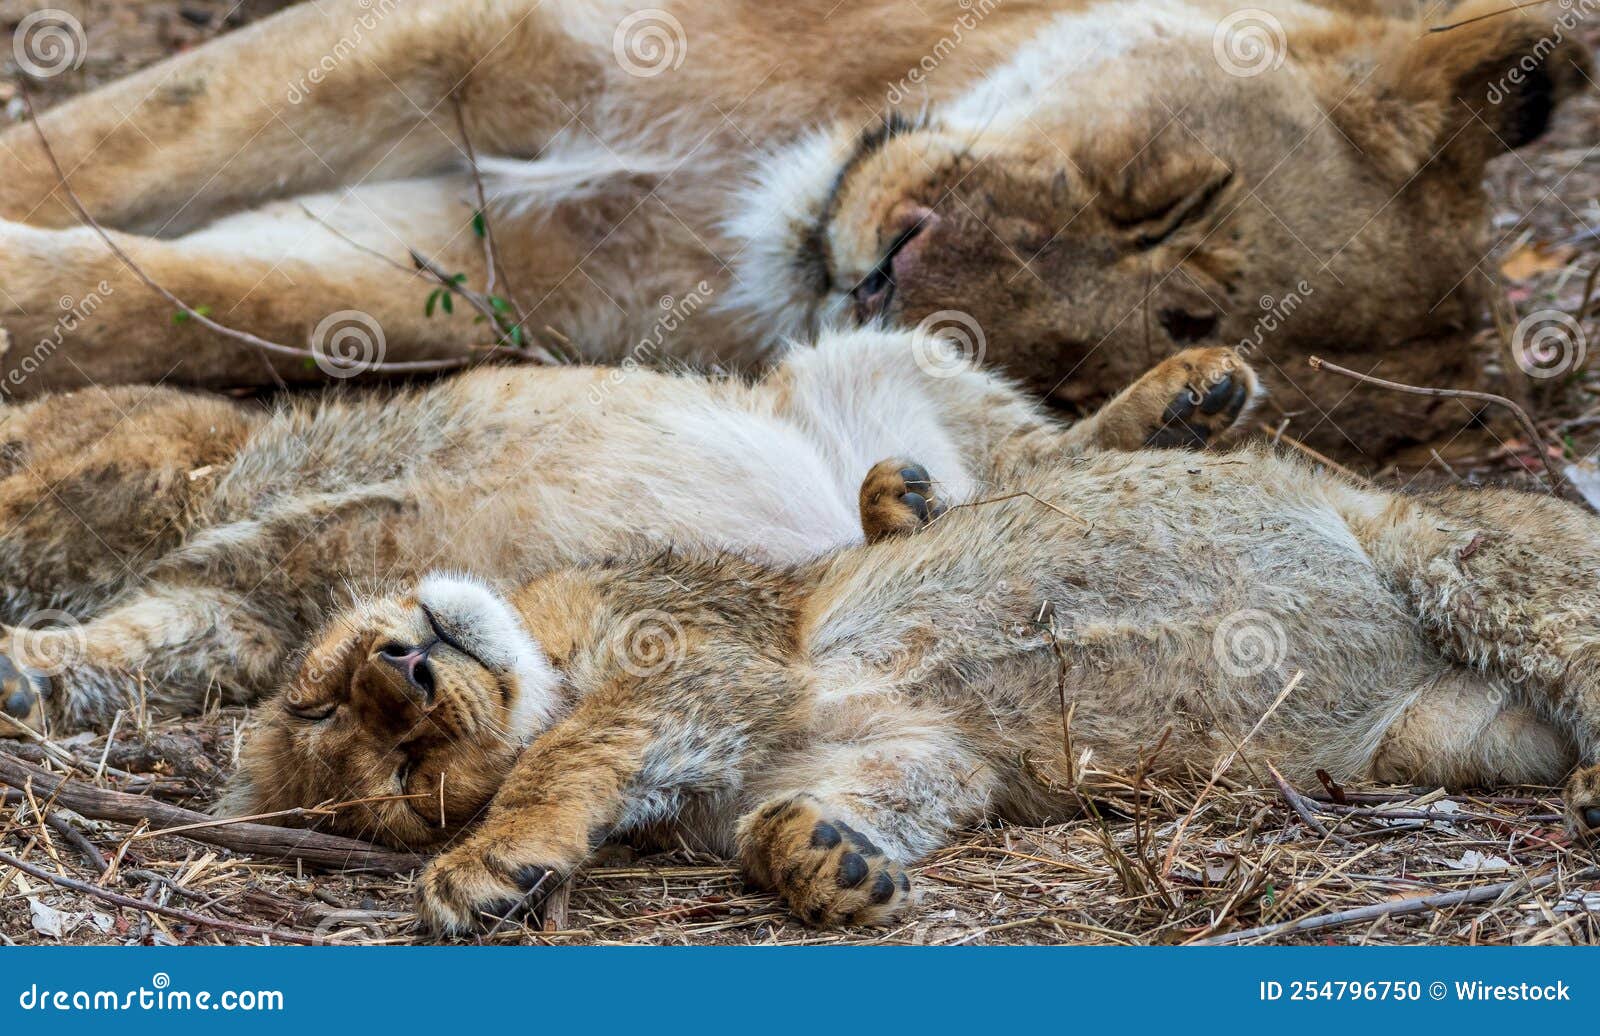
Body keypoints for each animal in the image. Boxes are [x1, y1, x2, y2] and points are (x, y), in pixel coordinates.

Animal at [0, 0, 1584, 455]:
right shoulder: (457, 33)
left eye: (1143, 339)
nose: (889, 276)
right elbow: (108, 141)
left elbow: (158, 301)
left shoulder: (486, 263)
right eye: (1165, 197)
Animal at [0, 332, 1254, 733]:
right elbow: (137, 640)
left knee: (1051, 453)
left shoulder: (160, 438)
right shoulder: (232, 608)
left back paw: (1189, 396)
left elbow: (42, 471)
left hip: (872, 351)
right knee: (1019, 476)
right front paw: (27, 671)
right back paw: (903, 506)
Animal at [229, 378, 1600, 936]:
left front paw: (485, 864)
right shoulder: (916, 749)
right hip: (1450, 735)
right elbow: (800, 815)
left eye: (326, 702)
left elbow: (565, 754)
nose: (404, 668)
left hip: (1464, 557)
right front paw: (831, 865)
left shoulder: (702, 646)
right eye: (402, 775)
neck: (550, 641)